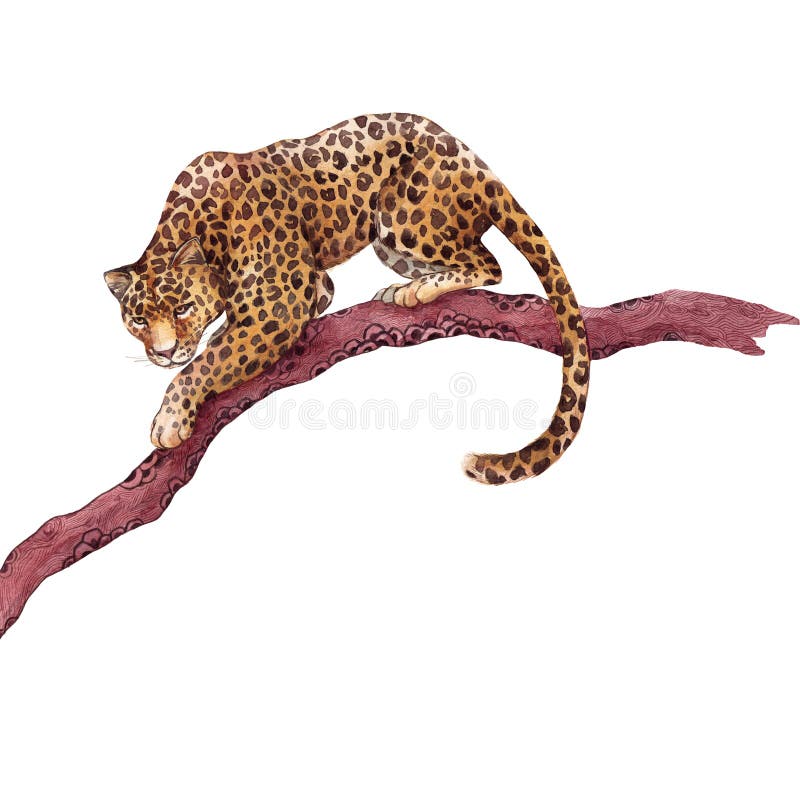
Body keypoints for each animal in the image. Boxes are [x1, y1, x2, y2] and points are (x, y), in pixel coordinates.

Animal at [105, 113, 590, 484]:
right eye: (138, 321)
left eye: (182, 308)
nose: (163, 353)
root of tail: (477, 161)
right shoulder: (315, 286)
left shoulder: (279, 305)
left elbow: (207, 362)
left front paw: (168, 422)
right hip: (387, 243)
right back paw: (403, 288)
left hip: (404, 216)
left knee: (489, 263)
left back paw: (419, 290)